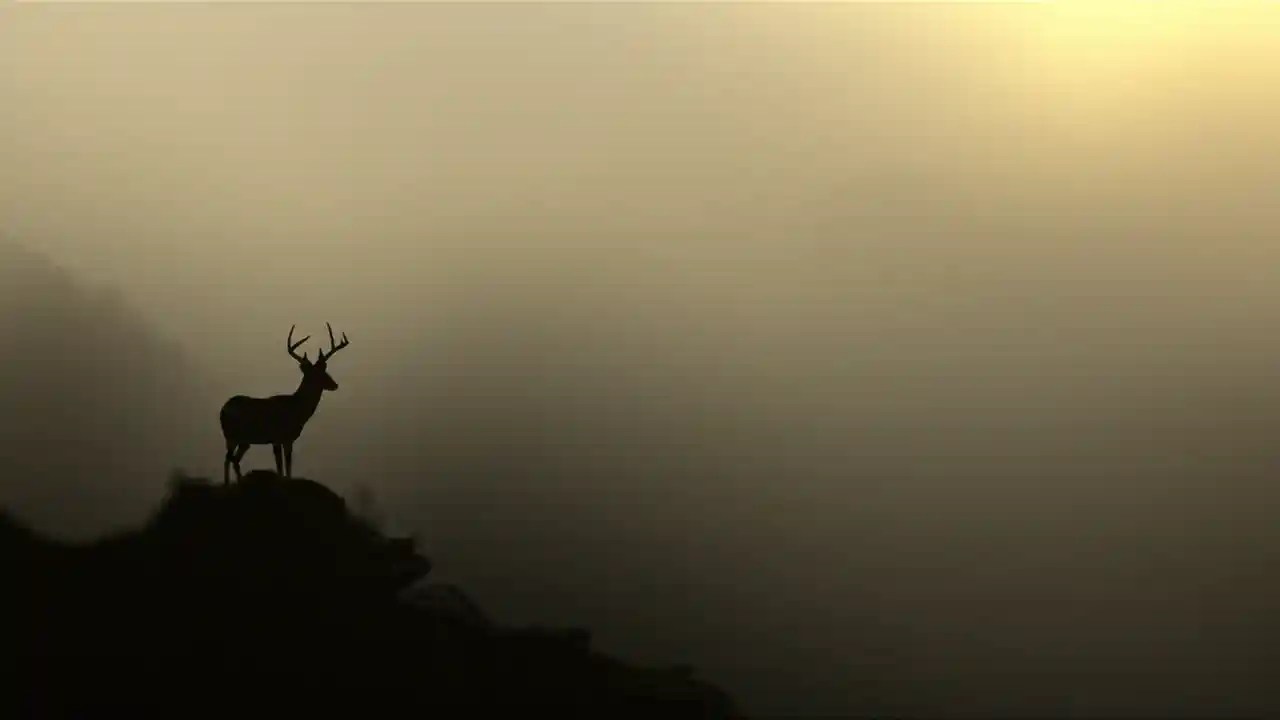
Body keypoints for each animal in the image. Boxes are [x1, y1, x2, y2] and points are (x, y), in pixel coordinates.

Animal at [219, 323, 350, 484]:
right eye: (320, 374)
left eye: (324, 371)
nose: (335, 385)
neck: (296, 409)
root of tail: (223, 409)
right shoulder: (280, 437)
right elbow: (282, 467)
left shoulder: (285, 440)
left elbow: (286, 467)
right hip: (233, 435)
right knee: (229, 459)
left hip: (242, 441)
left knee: (233, 459)